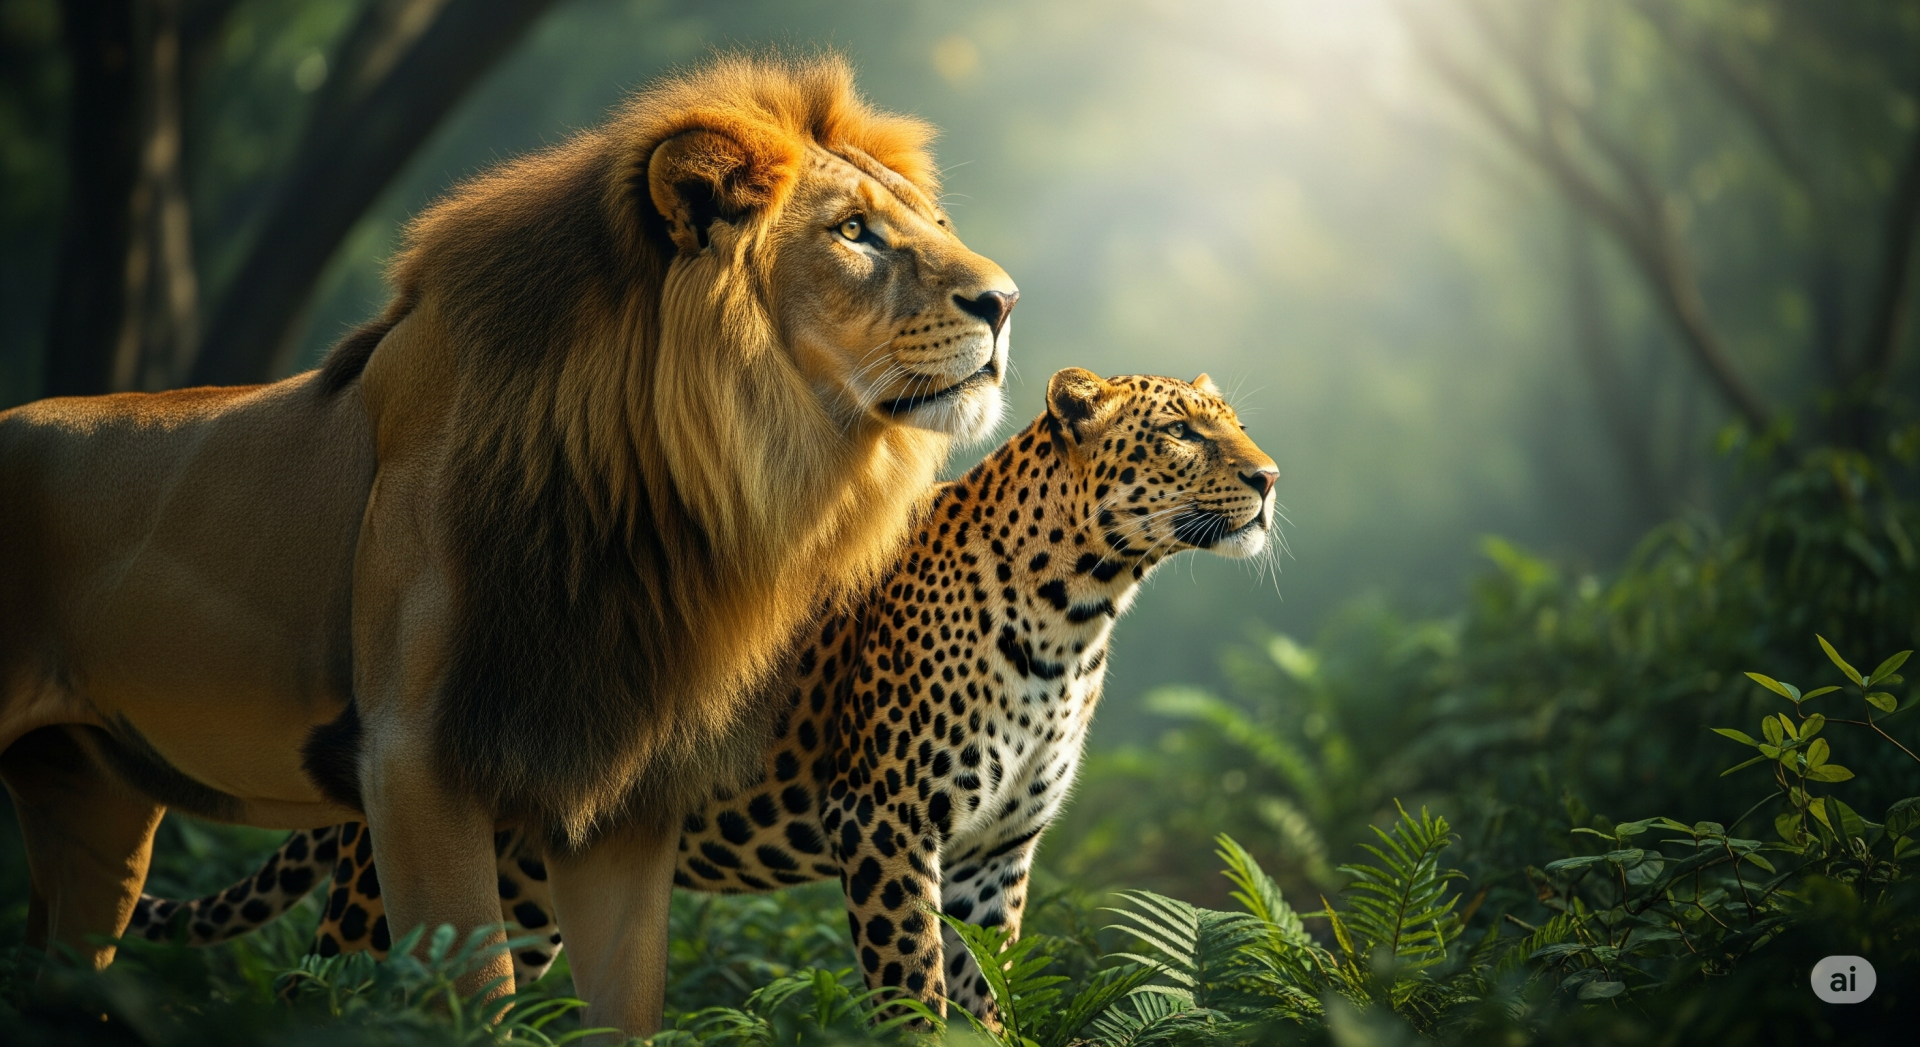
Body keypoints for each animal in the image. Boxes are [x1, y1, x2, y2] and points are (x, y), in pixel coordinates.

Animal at [0, 53, 1015, 1034]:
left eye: (933, 221)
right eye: (854, 232)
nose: (1004, 301)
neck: (656, 496)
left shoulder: (621, 783)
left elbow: (627, 1010)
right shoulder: (413, 760)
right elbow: (472, 993)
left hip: (96, 811)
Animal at [128, 368, 1280, 1024]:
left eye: (1231, 423)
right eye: (1183, 433)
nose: (1271, 479)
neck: (1083, 610)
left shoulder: (994, 858)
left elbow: (988, 996)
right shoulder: (887, 825)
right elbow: (915, 993)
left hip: (520, 893)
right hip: (393, 887)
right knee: (332, 997)